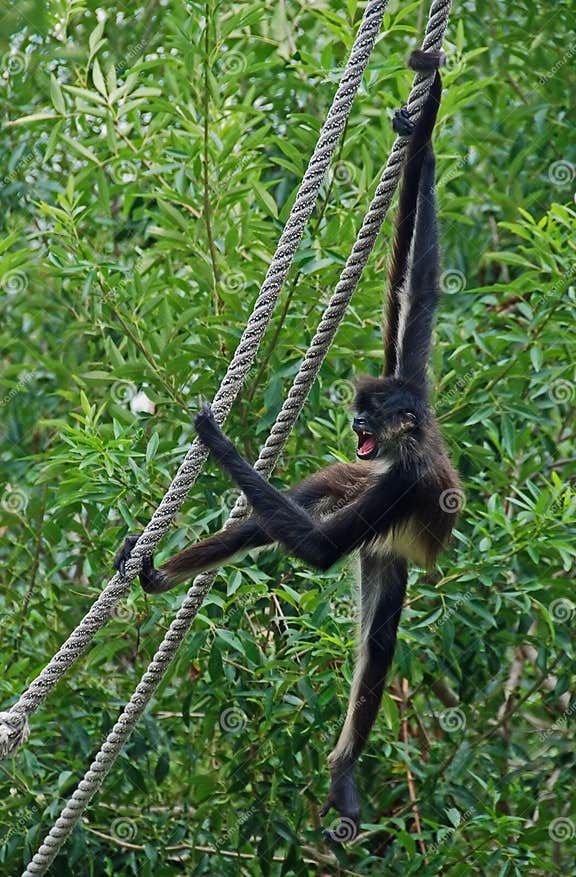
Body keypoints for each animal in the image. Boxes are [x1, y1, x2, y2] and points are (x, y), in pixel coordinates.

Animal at [115, 50, 460, 842]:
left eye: (369, 422)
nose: (358, 439)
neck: (406, 445)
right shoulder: (402, 405)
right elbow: (414, 288)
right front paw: (422, 127)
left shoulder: (405, 474)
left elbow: (321, 551)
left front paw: (212, 435)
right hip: (358, 502)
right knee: (286, 515)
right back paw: (158, 575)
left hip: (385, 543)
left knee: (371, 626)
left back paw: (342, 770)